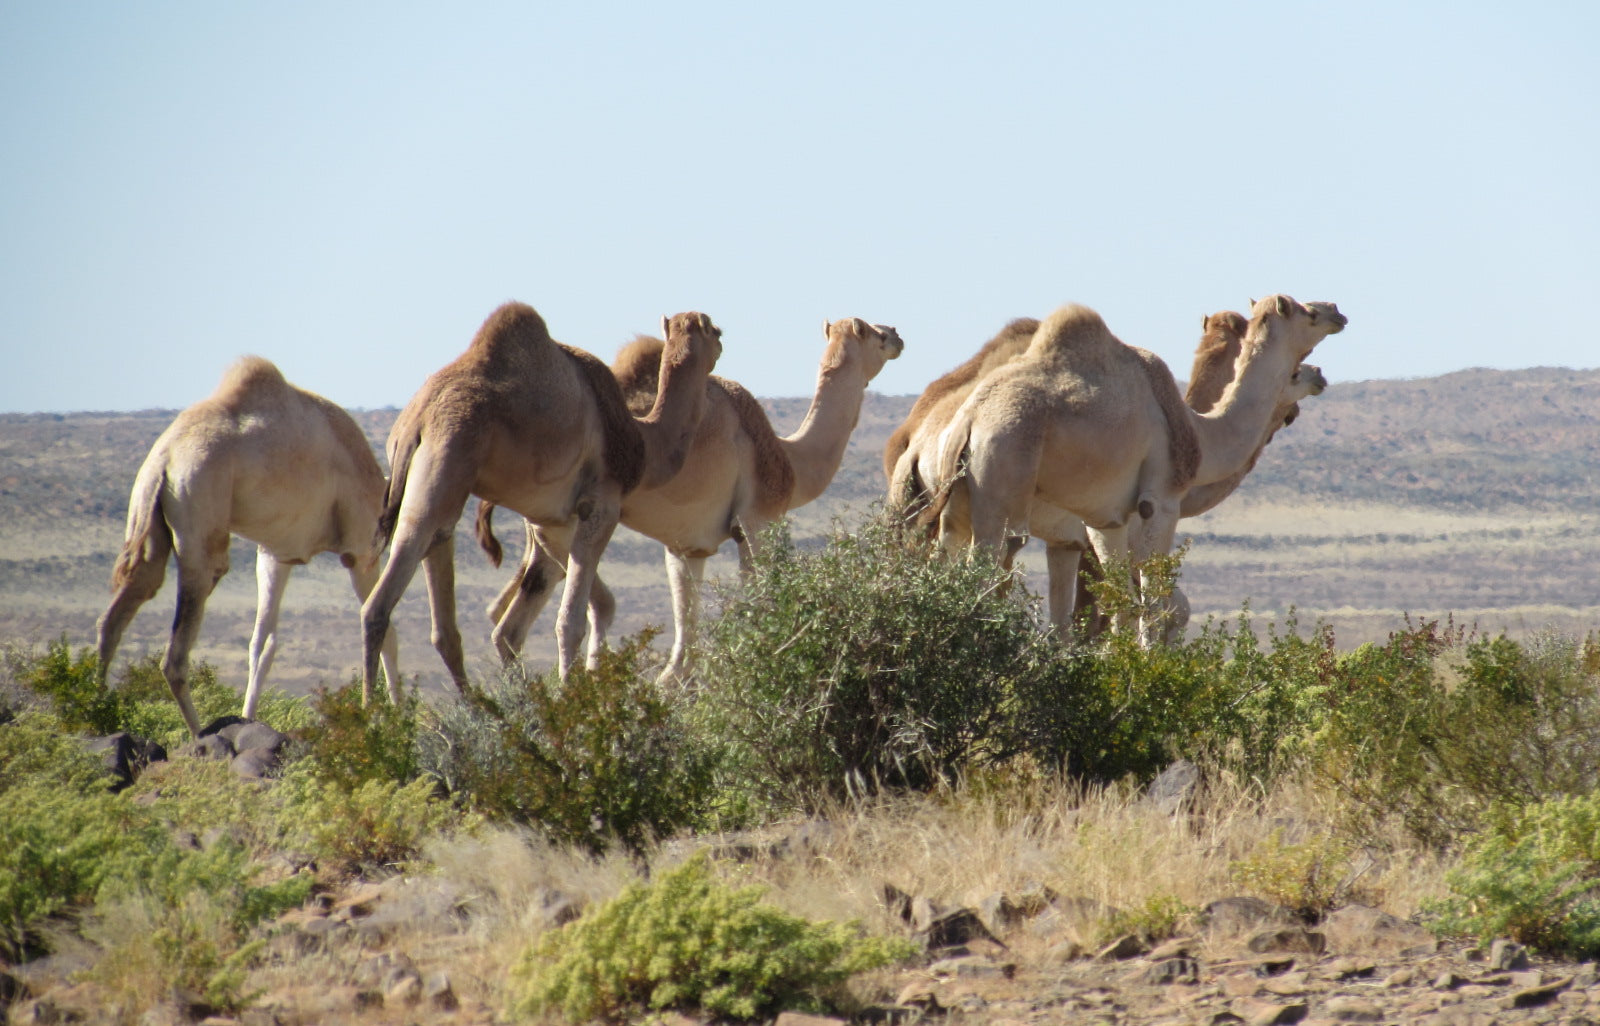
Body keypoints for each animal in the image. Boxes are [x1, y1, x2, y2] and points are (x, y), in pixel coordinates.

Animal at [95, 356, 401, 738]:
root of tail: (164, 460)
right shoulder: (360, 551)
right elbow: (384, 625)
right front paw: (395, 717)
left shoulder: (276, 553)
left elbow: (262, 644)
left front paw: (249, 718)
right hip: (202, 517)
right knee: (174, 657)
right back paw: (200, 735)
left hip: (146, 514)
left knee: (116, 615)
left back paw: (92, 714)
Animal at [359, 303, 722, 692]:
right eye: (715, 330)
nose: (722, 339)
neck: (643, 442)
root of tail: (414, 423)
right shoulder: (602, 505)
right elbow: (570, 621)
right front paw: (570, 695)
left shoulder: (552, 522)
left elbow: (534, 622)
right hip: (447, 461)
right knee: (381, 603)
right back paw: (377, 707)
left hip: (431, 486)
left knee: (438, 616)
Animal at [477, 317, 905, 680]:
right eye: (874, 333)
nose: (897, 335)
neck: (792, 461)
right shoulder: (758, 521)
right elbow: (759, 606)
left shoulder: (688, 547)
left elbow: (685, 642)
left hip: (546, 522)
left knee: (511, 625)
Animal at [929, 295, 1345, 640]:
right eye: (1309, 312)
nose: (1337, 312)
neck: (1199, 432)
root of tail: (968, 421)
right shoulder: (1160, 501)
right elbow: (1158, 604)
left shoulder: (1106, 520)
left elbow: (1121, 605)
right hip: (1003, 471)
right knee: (987, 564)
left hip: (957, 501)